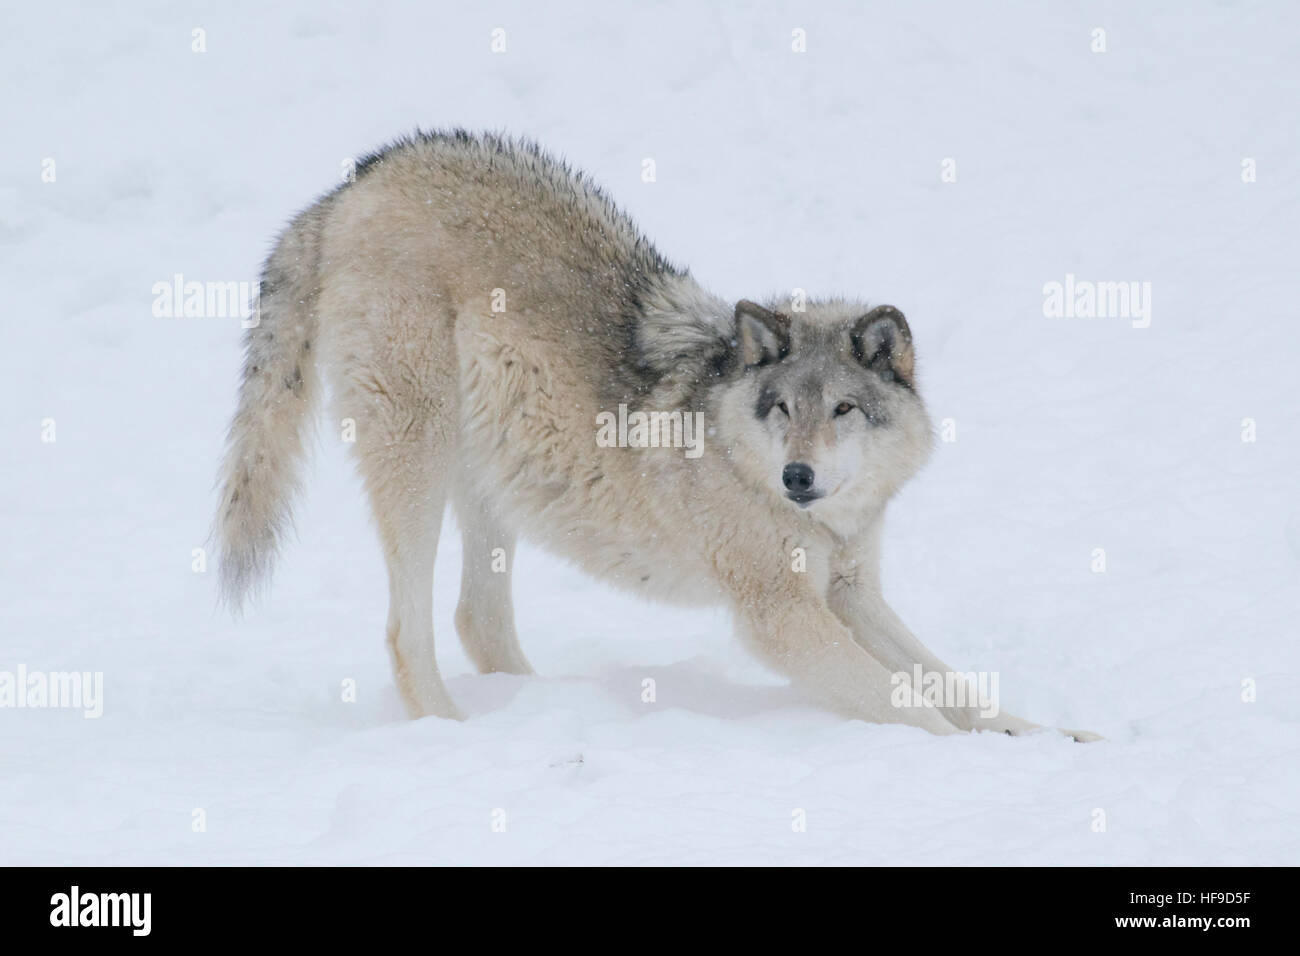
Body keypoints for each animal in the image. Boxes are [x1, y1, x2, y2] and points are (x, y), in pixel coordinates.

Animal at [215, 130, 1096, 740]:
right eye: (783, 408)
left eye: (842, 410)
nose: (798, 478)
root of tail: (356, 179)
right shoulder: (781, 614)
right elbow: (912, 706)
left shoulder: (852, 593)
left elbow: (950, 682)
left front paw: (1044, 737)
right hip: (418, 453)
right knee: (409, 629)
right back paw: (460, 734)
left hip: (497, 474)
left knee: (477, 620)